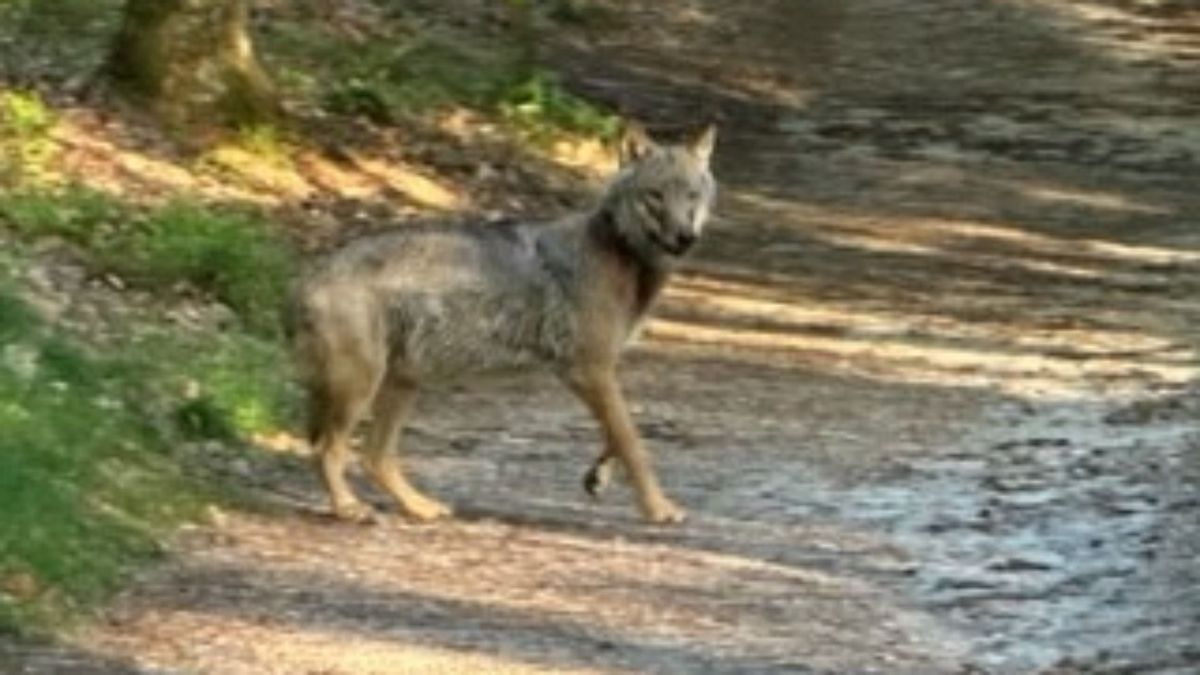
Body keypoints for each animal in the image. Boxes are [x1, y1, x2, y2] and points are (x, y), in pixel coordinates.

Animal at [289, 122, 717, 524]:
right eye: (656, 195)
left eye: (692, 195)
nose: (686, 237)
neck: (623, 253)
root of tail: (309, 273)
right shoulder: (588, 369)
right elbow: (634, 442)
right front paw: (659, 508)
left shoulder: (596, 371)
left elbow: (620, 433)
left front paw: (598, 476)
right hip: (363, 386)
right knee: (328, 449)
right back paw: (349, 508)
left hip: (403, 382)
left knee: (373, 456)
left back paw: (420, 508)